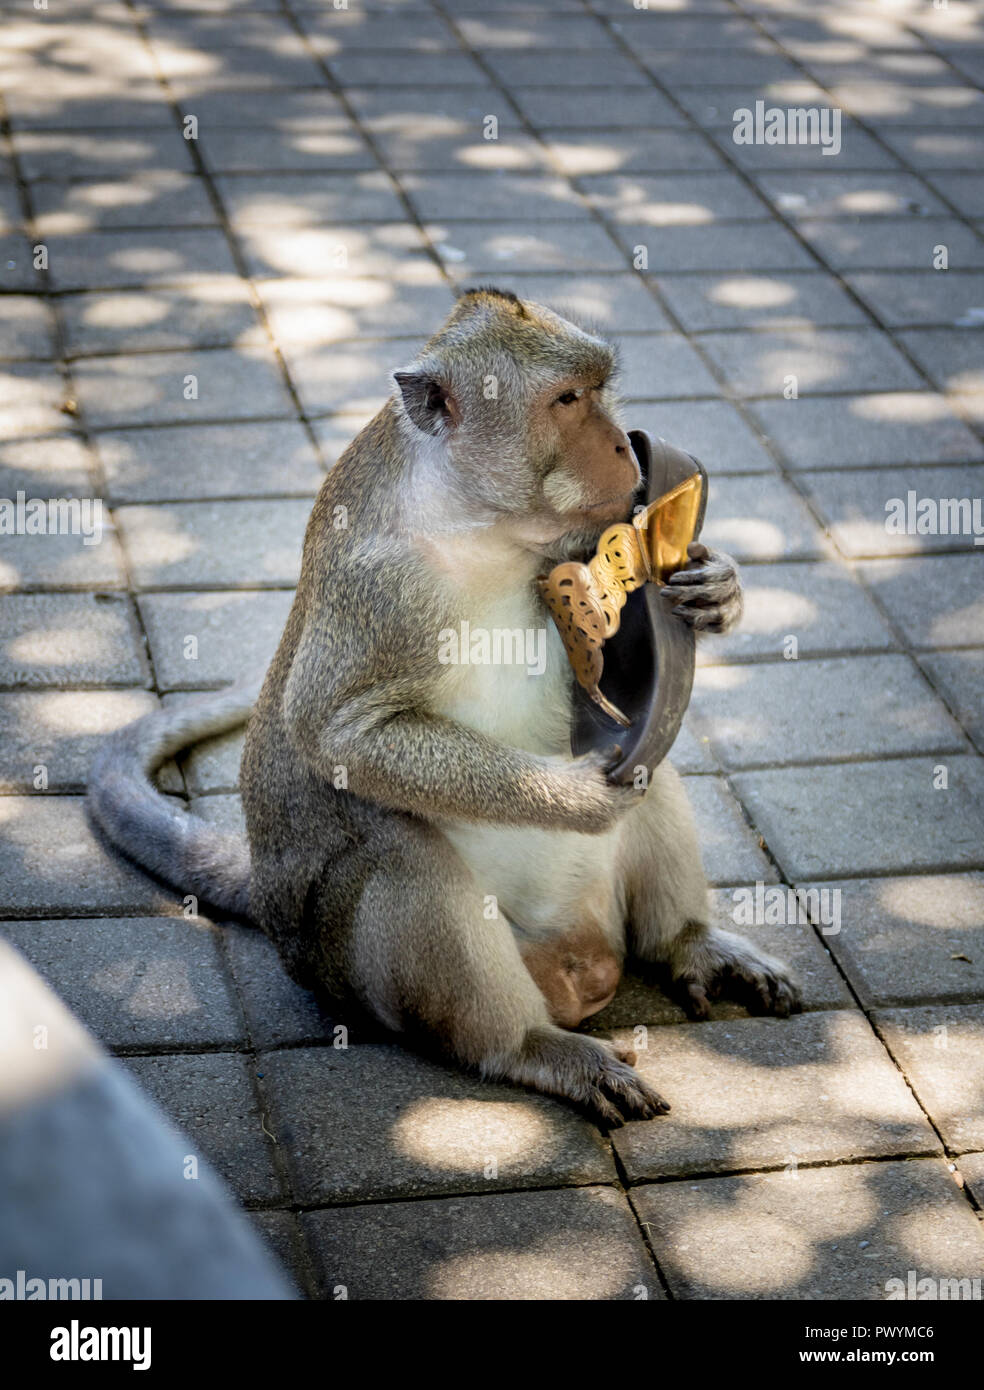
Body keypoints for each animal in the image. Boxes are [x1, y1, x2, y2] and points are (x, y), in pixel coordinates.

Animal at [89, 287, 800, 1127]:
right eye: (567, 400)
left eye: (599, 390)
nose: (627, 451)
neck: (480, 527)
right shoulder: (384, 589)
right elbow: (341, 737)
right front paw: (572, 797)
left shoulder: (582, 535)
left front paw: (717, 587)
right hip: (355, 965)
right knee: (403, 847)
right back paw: (531, 1045)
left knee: (655, 767)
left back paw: (688, 942)